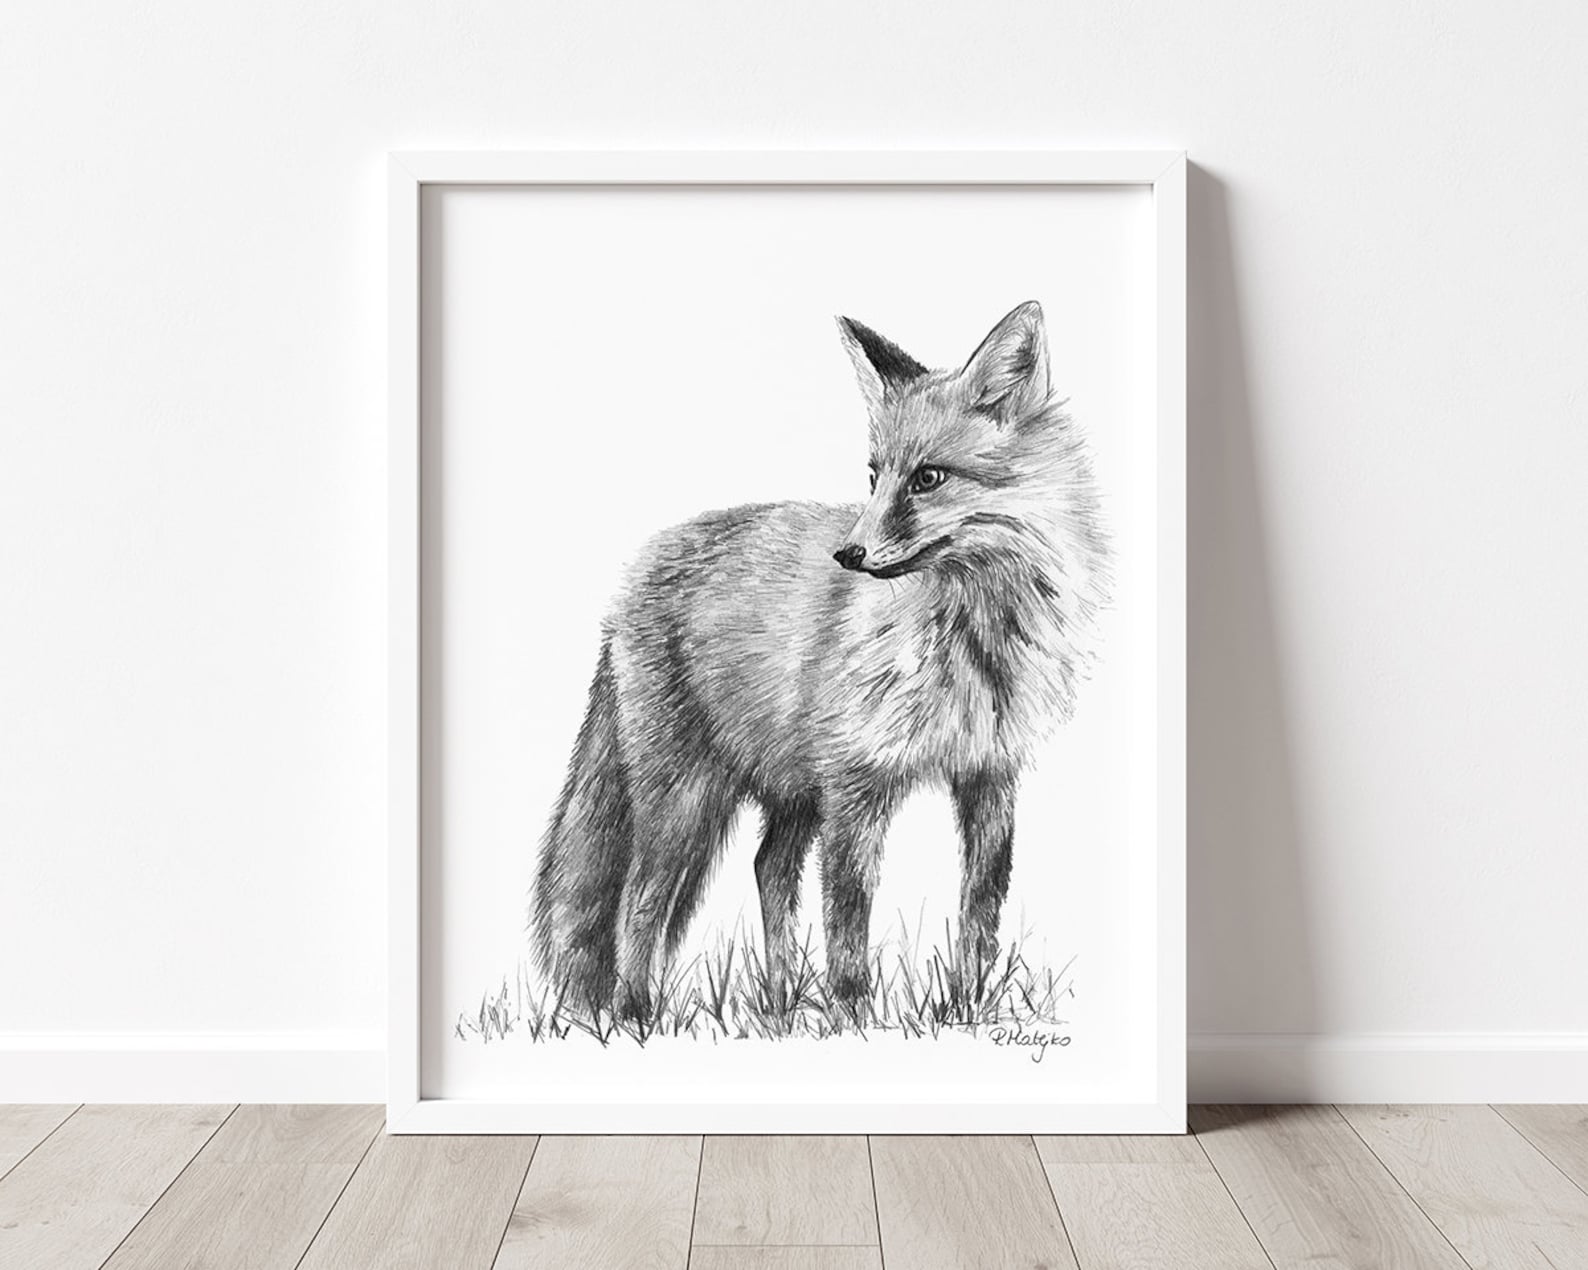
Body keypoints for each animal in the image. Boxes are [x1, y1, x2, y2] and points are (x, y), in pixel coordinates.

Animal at [531, 301, 1109, 1022]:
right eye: (874, 476)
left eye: (927, 478)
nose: (849, 555)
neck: (973, 641)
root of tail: (632, 573)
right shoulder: (856, 785)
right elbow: (849, 920)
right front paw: (856, 1021)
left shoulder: (989, 773)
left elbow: (980, 909)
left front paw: (965, 1011)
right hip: (687, 794)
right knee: (641, 897)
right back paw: (638, 1015)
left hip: (792, 791)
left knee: (768, 869)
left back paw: (780, 1004)